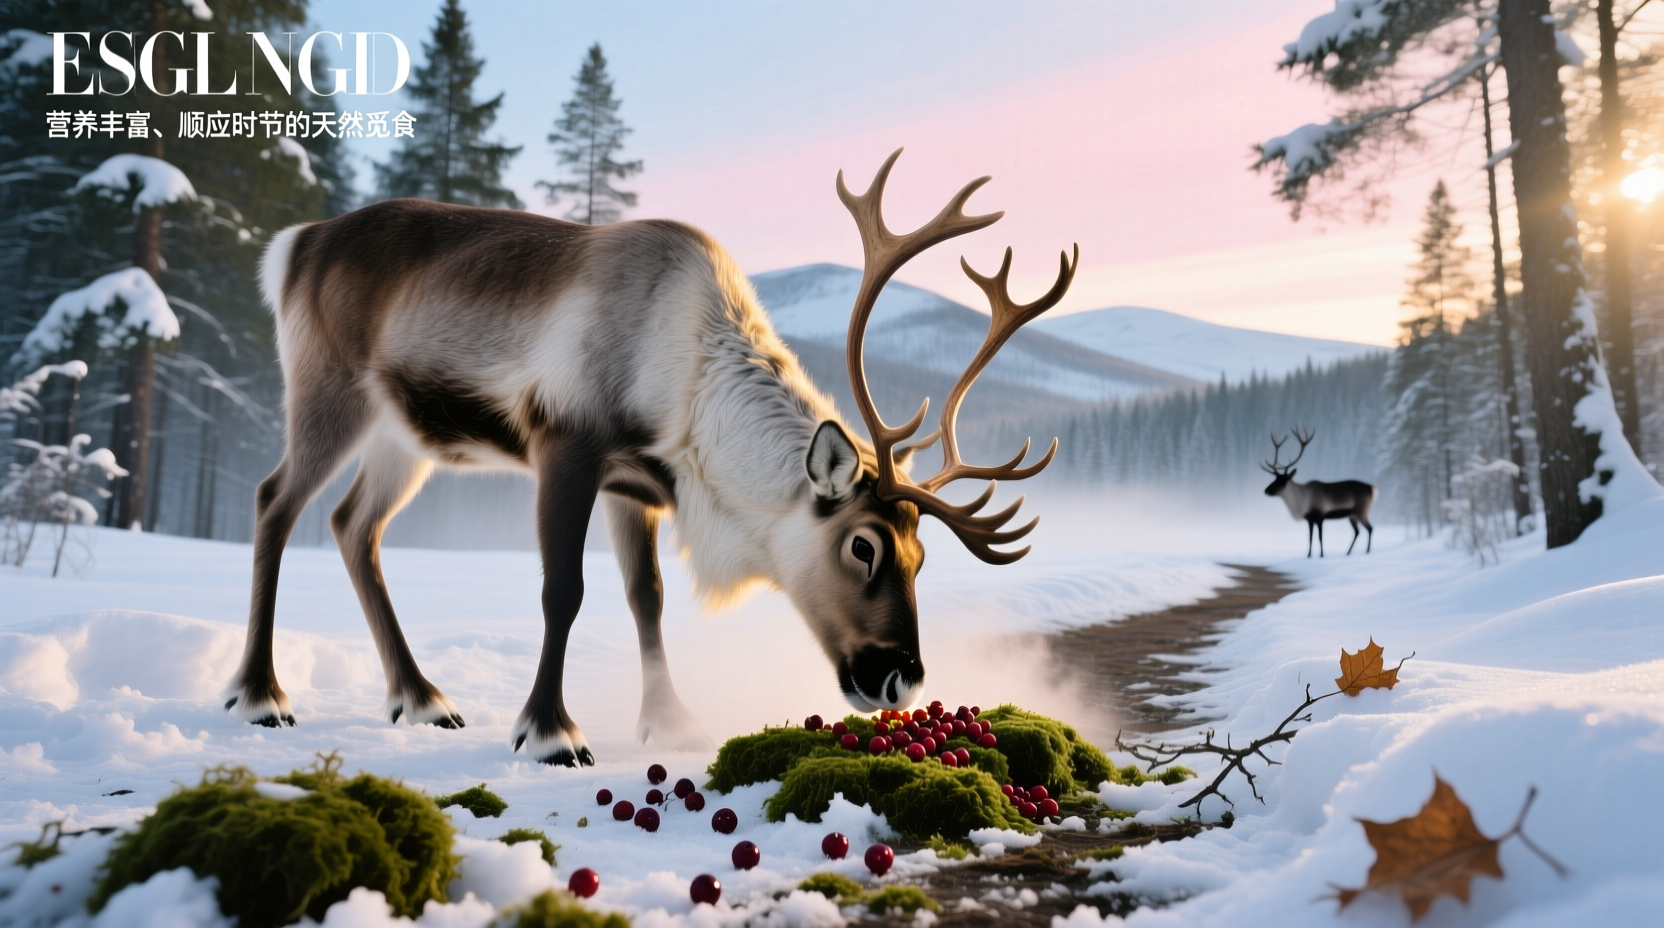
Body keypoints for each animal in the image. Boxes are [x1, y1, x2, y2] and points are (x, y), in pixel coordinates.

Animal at [224, 149, 1076, 766]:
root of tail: (294, 245)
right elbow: (563, 590)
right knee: (273, 500)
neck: (690, 384)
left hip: (404, 435)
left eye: (922, 556)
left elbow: (648, 596)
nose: (901, 673)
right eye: (862, 545)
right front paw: (550, 732)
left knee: (351, 524)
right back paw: (262, 695)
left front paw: (672, 724)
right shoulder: (566, 444)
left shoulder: (634, 485)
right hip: (330, 389)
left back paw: (424, 698)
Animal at [1262, 426, 1377, 557]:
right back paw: (1348, 553)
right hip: (1352, 515)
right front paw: (1308, 556)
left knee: (1370, 528)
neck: (1302, 503)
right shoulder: (1309, 518)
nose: (1266, 490)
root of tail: (1372, 488)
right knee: (1357, 532)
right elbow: (1310, 538)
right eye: (1274, 479)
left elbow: (1320, 537)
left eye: (1282, 481)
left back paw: (1367, 552)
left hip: (1361, 511)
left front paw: (1321, 556)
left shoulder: (1320, 515)